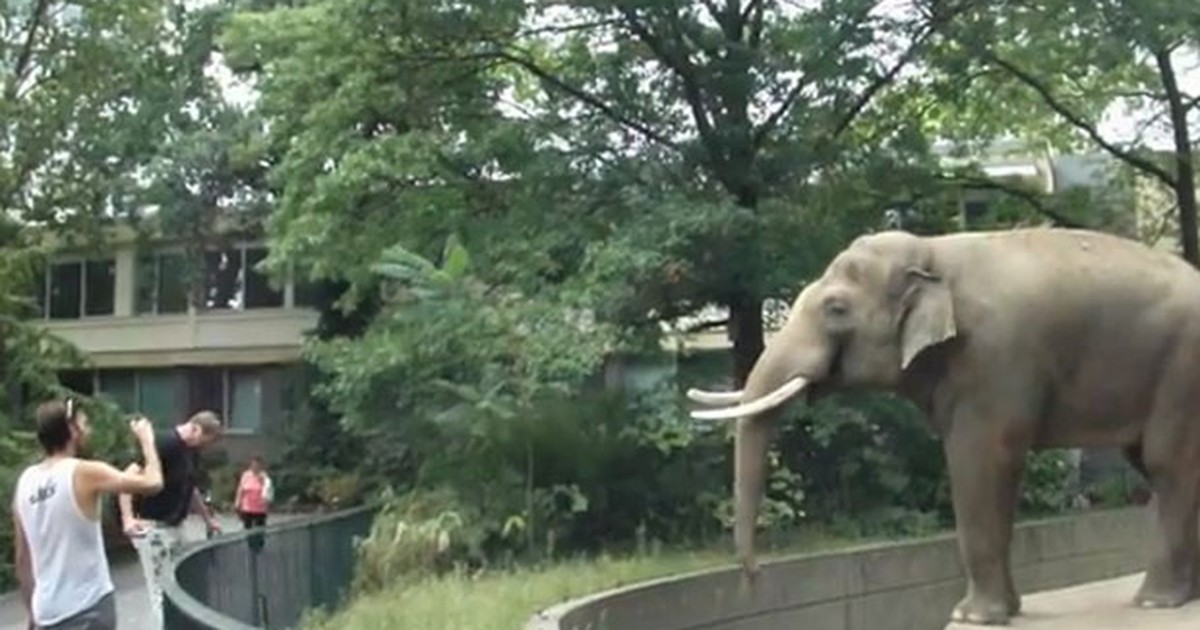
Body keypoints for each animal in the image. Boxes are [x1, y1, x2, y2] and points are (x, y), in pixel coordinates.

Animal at [688, 227, 1200, 626]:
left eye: (835, 308)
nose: (754, 578)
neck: (932, 251)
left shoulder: (993, 357)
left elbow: (981, 459)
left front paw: (970, 616)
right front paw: (1002, 611)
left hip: (1182, 372)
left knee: (1166, 464)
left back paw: (1154, 602)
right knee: (1155, 463)